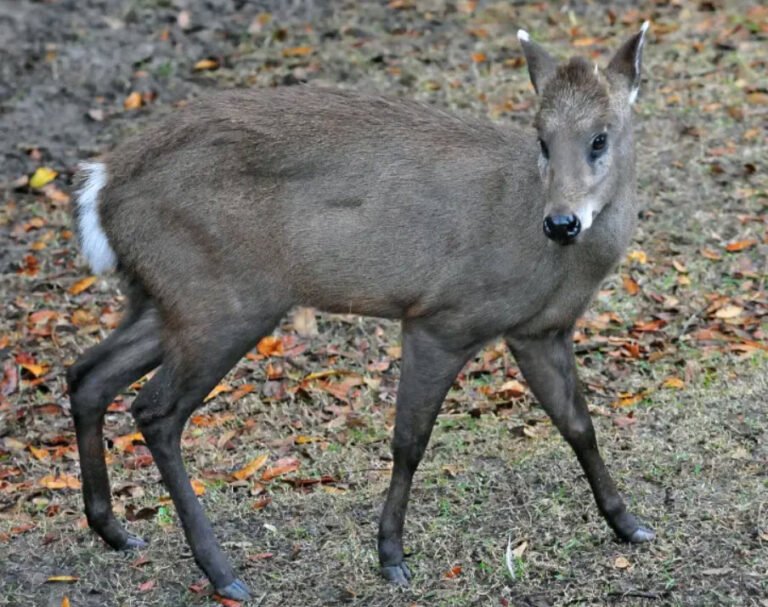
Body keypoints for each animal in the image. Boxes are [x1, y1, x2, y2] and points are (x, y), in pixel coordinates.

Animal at [67, 23, 652, 601]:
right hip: (221, 302)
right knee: (154, 410)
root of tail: (101, 188)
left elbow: (579, 425)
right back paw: (222, 572)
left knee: (87, 373)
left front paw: (629, 525)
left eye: (600, 137)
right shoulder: (444, 317)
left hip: (170, 301)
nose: (561, 222)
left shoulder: (540, 330)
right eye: (542, 139)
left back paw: (116, 531)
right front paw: (390, 555)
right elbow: (410, 441)